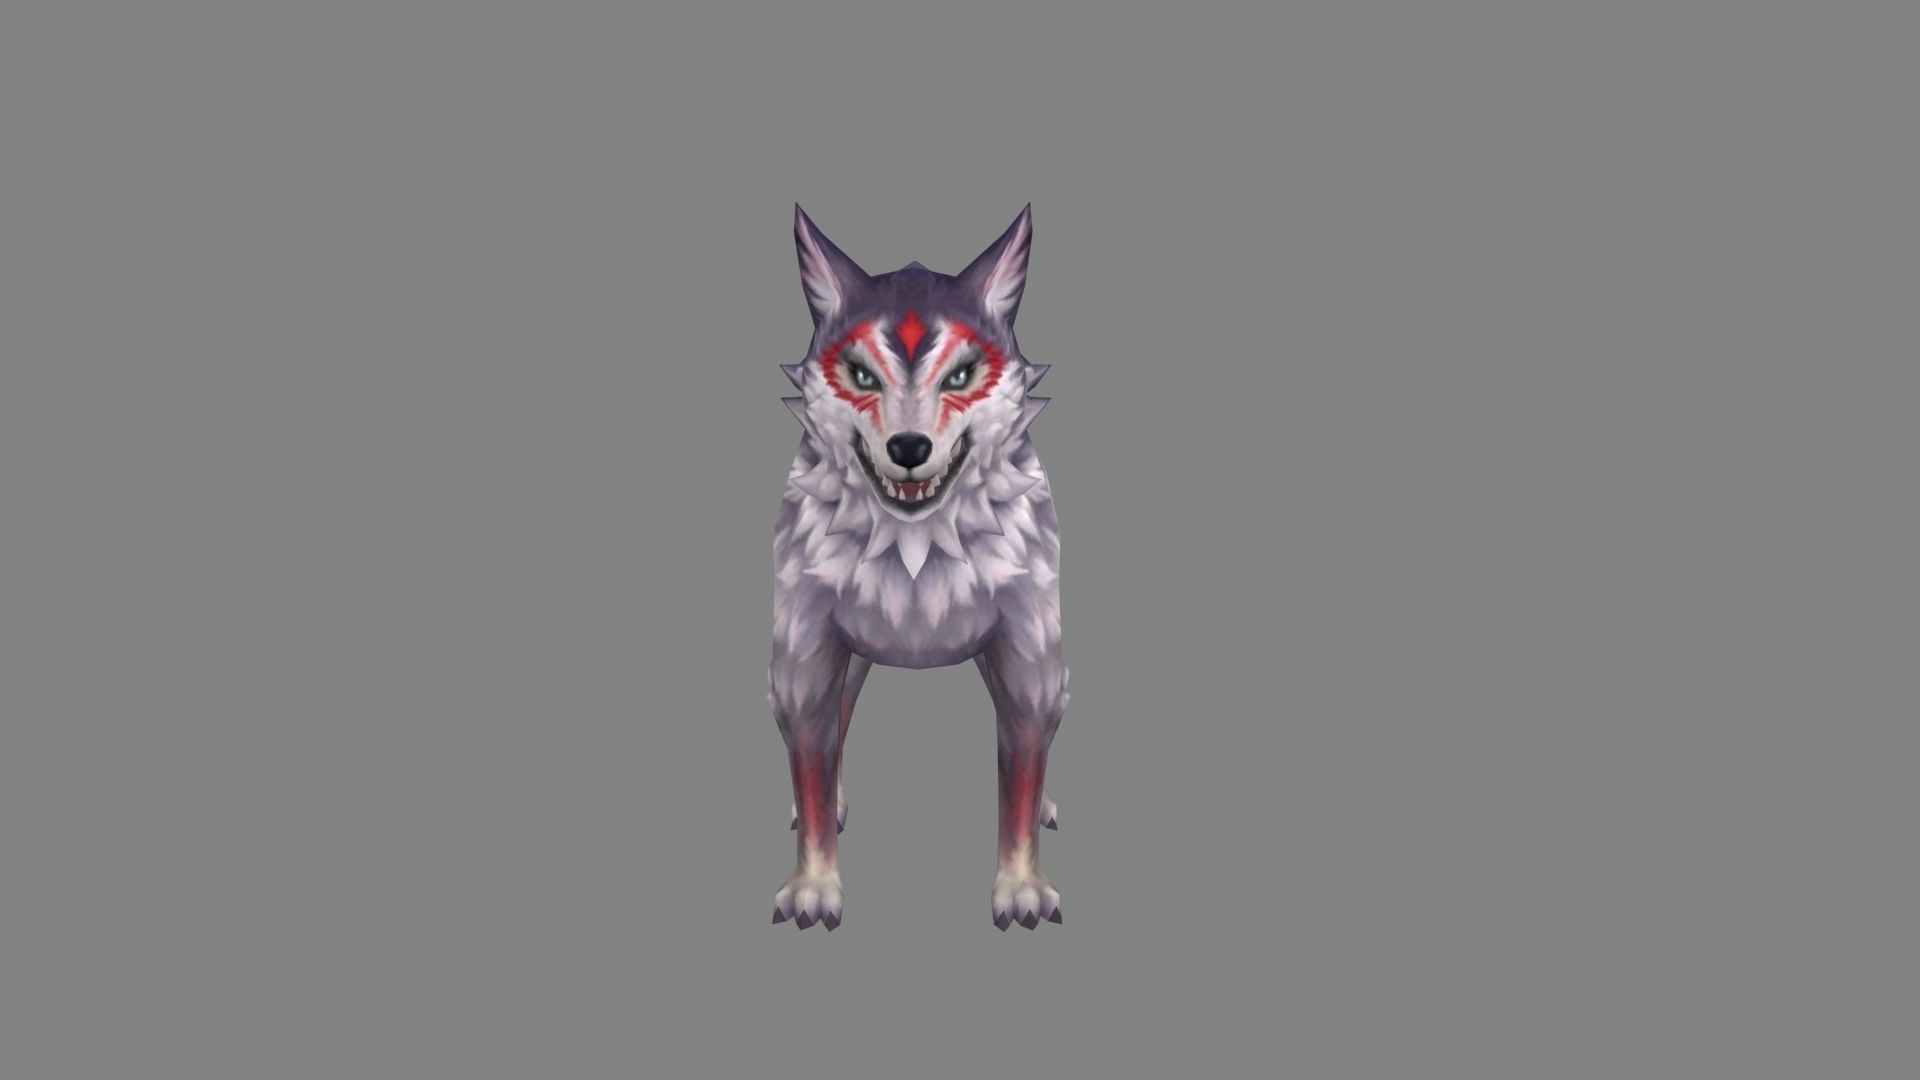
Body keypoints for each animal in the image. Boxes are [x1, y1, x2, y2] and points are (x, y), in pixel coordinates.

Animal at [768, 205, 1067, 931]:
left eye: (959, 377)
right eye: (861, 376)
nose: (909, 447)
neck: (916, 550)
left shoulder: (1026, 648)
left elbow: (1021, 769)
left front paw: (1021, 885)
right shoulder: (807, 648)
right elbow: (812, 750)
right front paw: (814, 883)